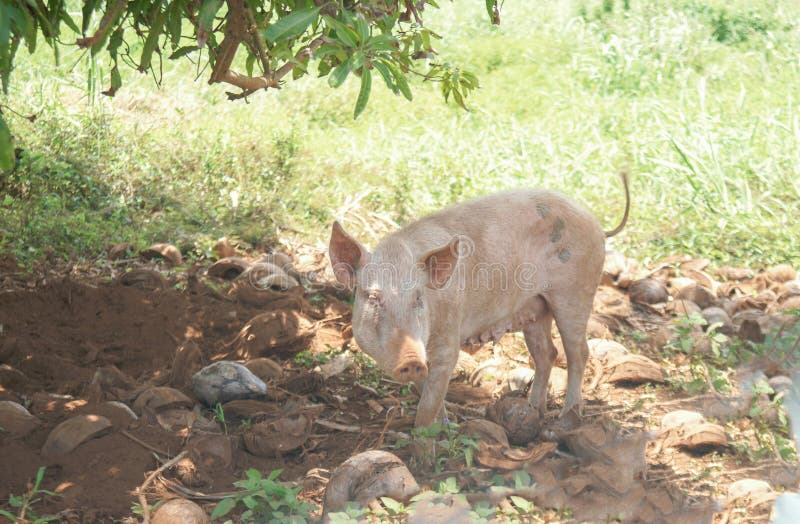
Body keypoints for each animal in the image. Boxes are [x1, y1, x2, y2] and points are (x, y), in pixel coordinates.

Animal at [329, 175, 629, 429]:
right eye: (373, 297)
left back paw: (566, 420)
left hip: (576, 292)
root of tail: (597, 223)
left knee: (579, 353)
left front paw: (425, 440)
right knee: (548, 353)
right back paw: (534, 410)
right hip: (536, 307)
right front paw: (444, 426)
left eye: (418, 297)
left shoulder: (448, 339)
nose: (412, 359)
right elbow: (428, 394)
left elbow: (428, 404)